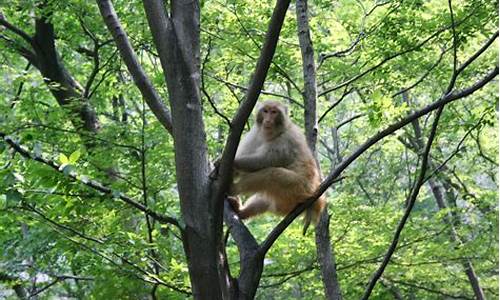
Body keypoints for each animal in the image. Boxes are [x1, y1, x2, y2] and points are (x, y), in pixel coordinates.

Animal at [229, 101, 326, 232]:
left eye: (274, 112)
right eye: (265, 111)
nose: (268, 120)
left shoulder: (286, 140)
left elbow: (265, 161)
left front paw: (233, 163)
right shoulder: (255, 134)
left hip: (299, 188)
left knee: (272, 175)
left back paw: (233, 189)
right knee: (265, 199)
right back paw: (241, 212)